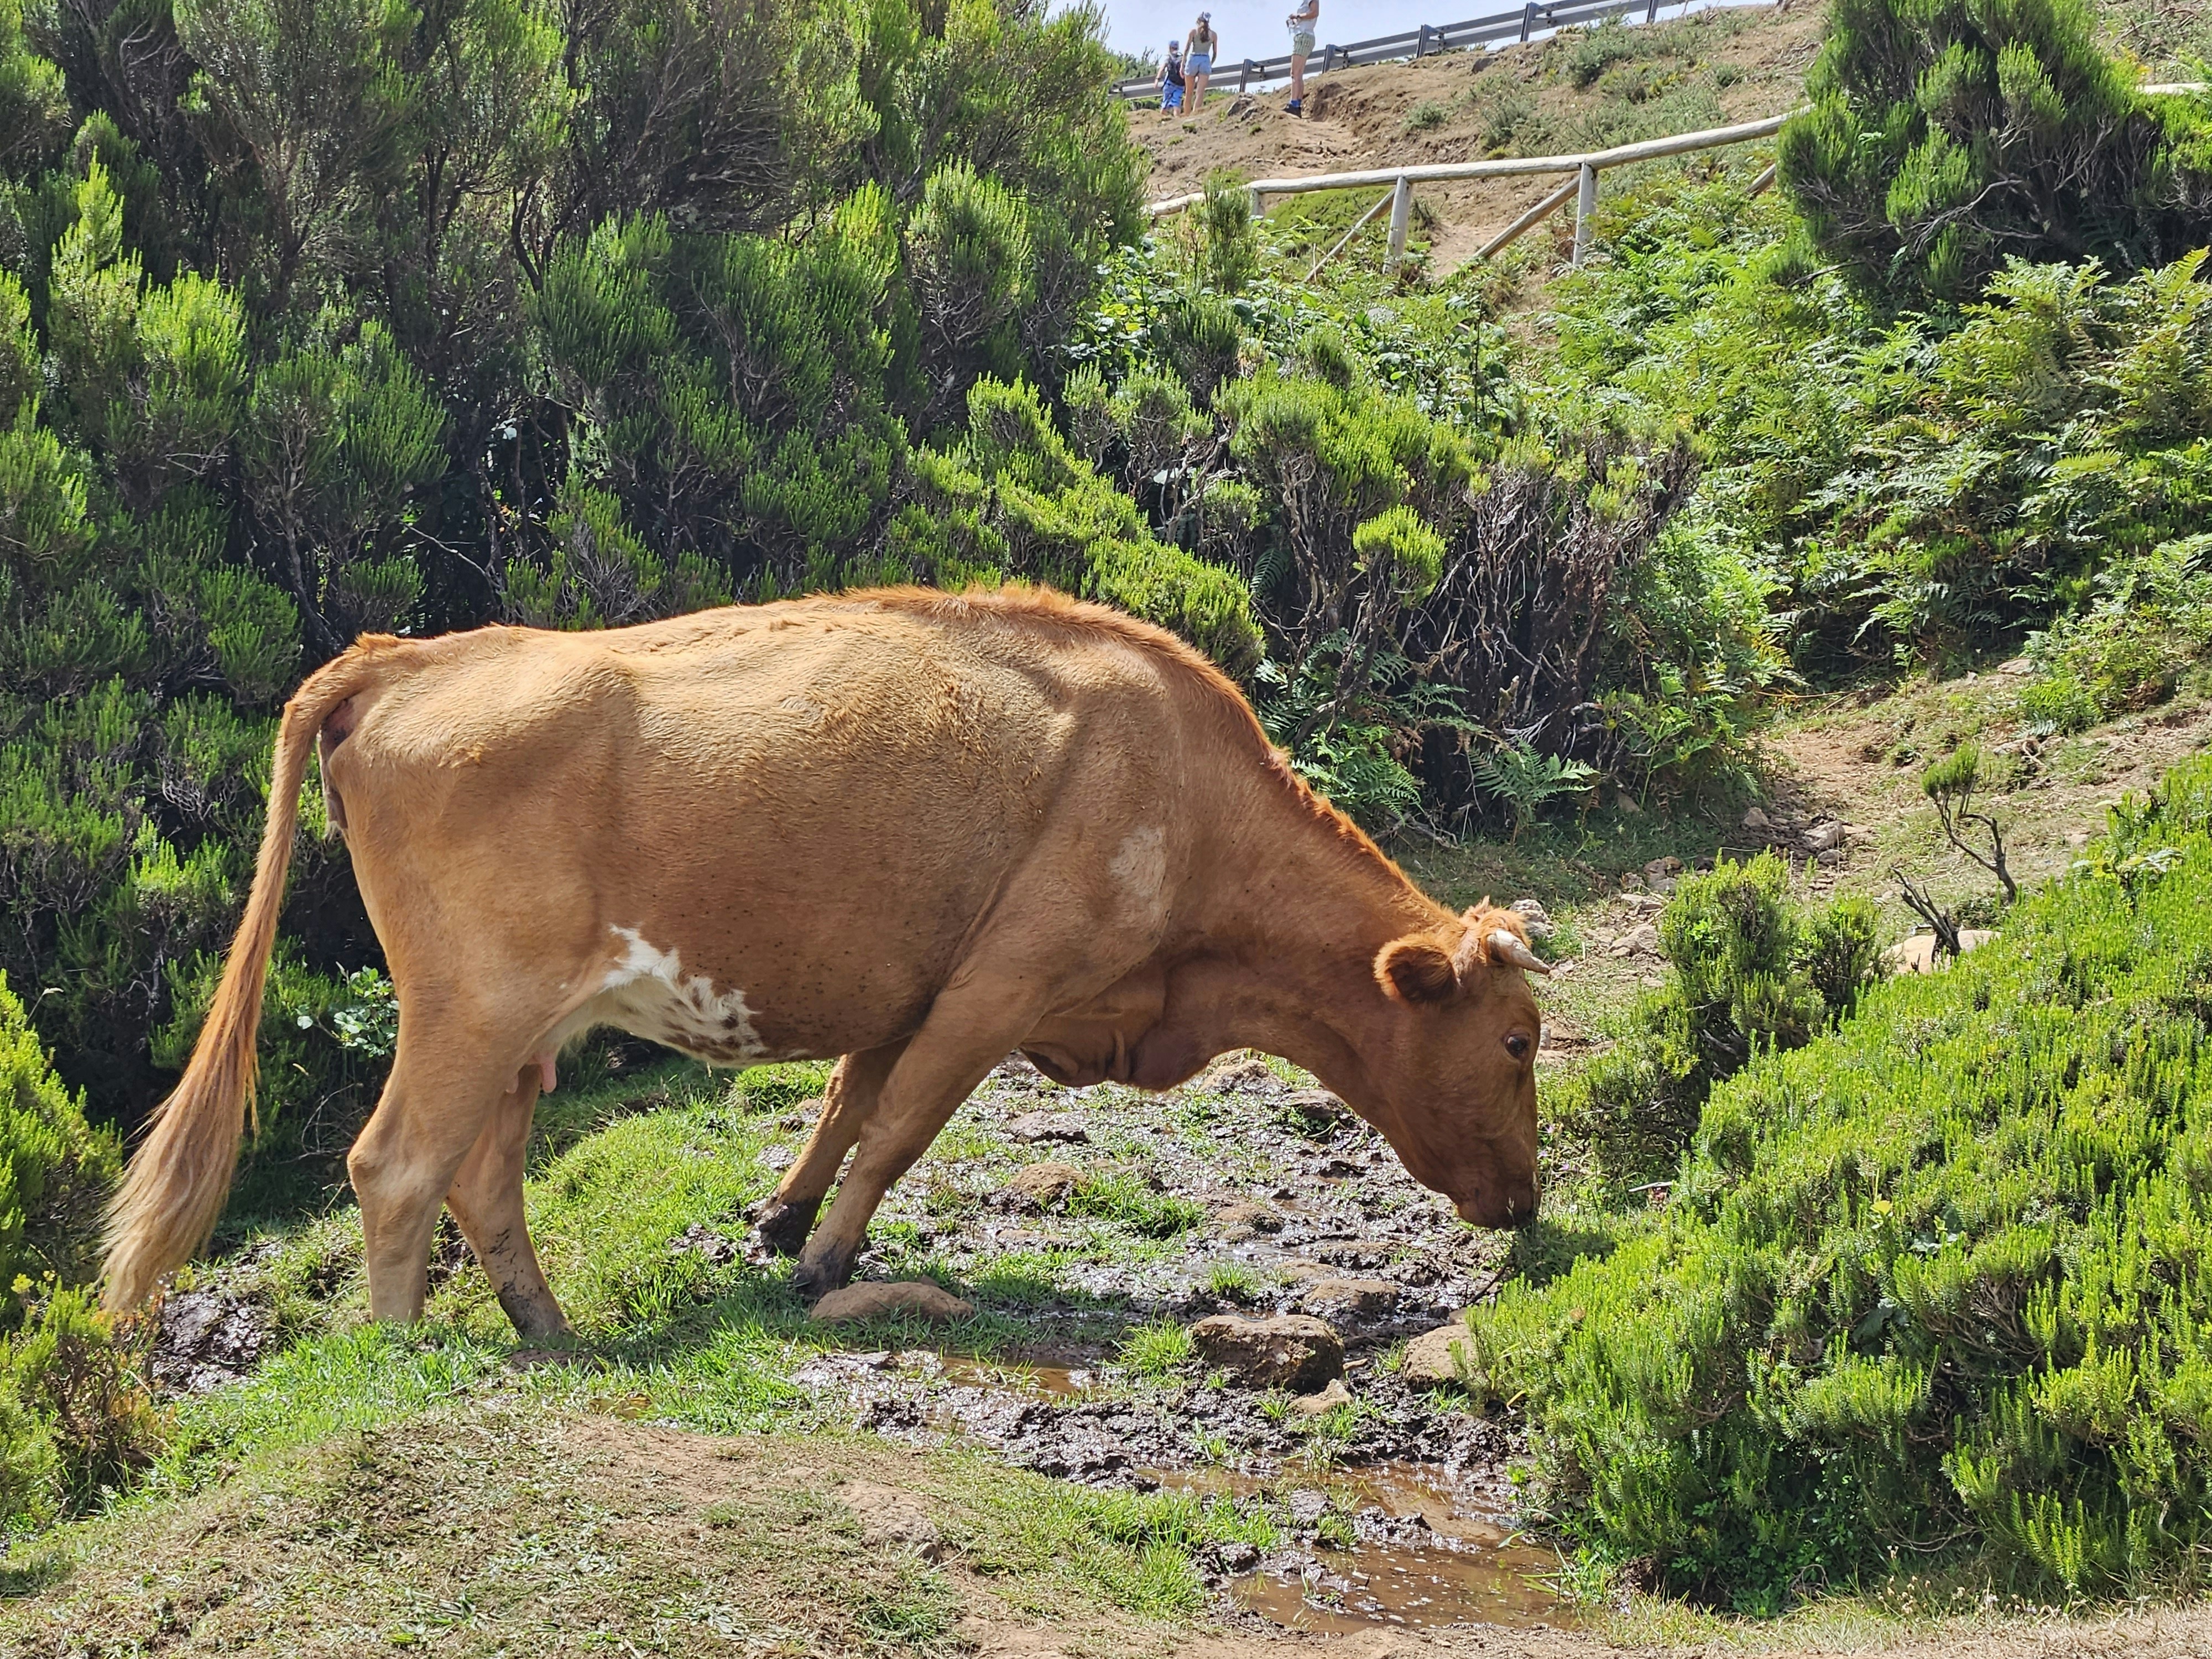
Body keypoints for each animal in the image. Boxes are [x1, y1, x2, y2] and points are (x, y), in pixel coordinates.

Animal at [102, 586, 1547, 1338]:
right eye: (1519, 1039)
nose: (1531, 1201)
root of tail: (406, 654)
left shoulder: (910, 984)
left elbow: (849, 1099)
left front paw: (784, 1221)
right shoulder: (1000, 983)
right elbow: (901, 1124)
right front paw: (822, 1262)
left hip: (521, 1036)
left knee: (481, 1175)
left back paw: (552, 1336)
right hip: (471, 1007)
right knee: (396, 1166)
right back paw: (400, 1358)